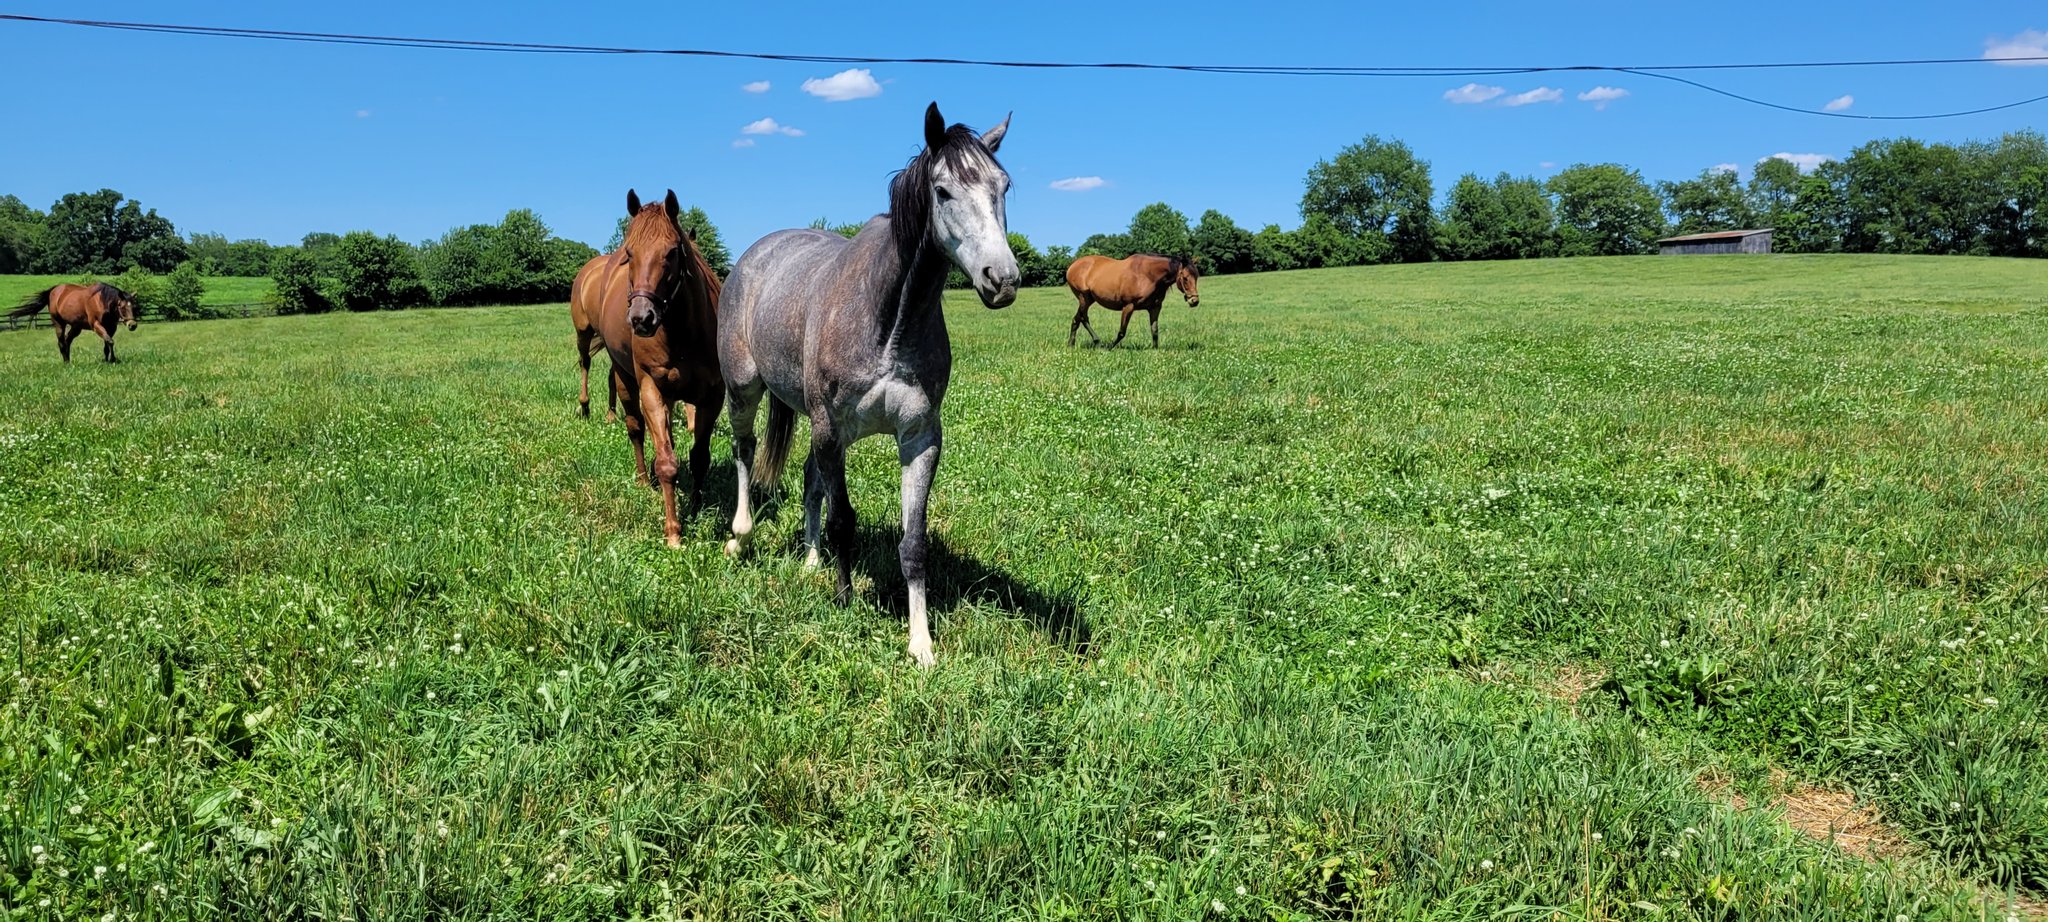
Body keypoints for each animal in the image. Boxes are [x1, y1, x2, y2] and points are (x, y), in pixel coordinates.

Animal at [7, 282, 139, 363]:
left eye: (133, 306)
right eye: (122, 307)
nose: (132, 325)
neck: (101, 301)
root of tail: (54, 291)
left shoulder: (111, 327)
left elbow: (107, 343)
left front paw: (107, 359)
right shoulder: (96, 325)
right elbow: (110, 341)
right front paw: (113, 359)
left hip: (76, 327)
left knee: (67, 340)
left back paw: (69, 360)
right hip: (59, 323)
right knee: (61, 342)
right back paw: (65, 361)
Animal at [595, 189, 724, 548]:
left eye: (671, 252)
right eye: (629, 253)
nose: (641, 318)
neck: (682, 332)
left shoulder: (712, 396)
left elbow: (699, 456)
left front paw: (695, 505)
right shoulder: (652, 387)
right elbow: (667, 462)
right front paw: (673, 532)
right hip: (624, 378)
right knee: (636, 427)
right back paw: (643, 478)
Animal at [720, 102, 1018, 667]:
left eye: (1004, 186)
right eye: (943, 190)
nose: (1003, 279)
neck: (889, 324)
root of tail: (754, 256)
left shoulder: (919, 437)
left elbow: (913, 543)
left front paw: (921, 643)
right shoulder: (831, 428)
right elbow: (844, 521)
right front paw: (844, 600)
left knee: (810, 482)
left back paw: (810, 560)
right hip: (746, 391)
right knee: (745, 451)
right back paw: (740, 536)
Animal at [1064, 254, 1200, 348]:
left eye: (1196, 277)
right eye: (1185, 278)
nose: (1194, 301)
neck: (1147, 276)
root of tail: (1072, 266)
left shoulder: (1155, 308)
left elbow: (1154, 330)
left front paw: (1155, 350)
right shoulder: (1128, 306)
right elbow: (1122, 332)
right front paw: (1110, 348)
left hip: (1088, 300)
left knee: (1077, 319)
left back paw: (1072, 344)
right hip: (1084, 298)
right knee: (1083, 318)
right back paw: (1096, 342)